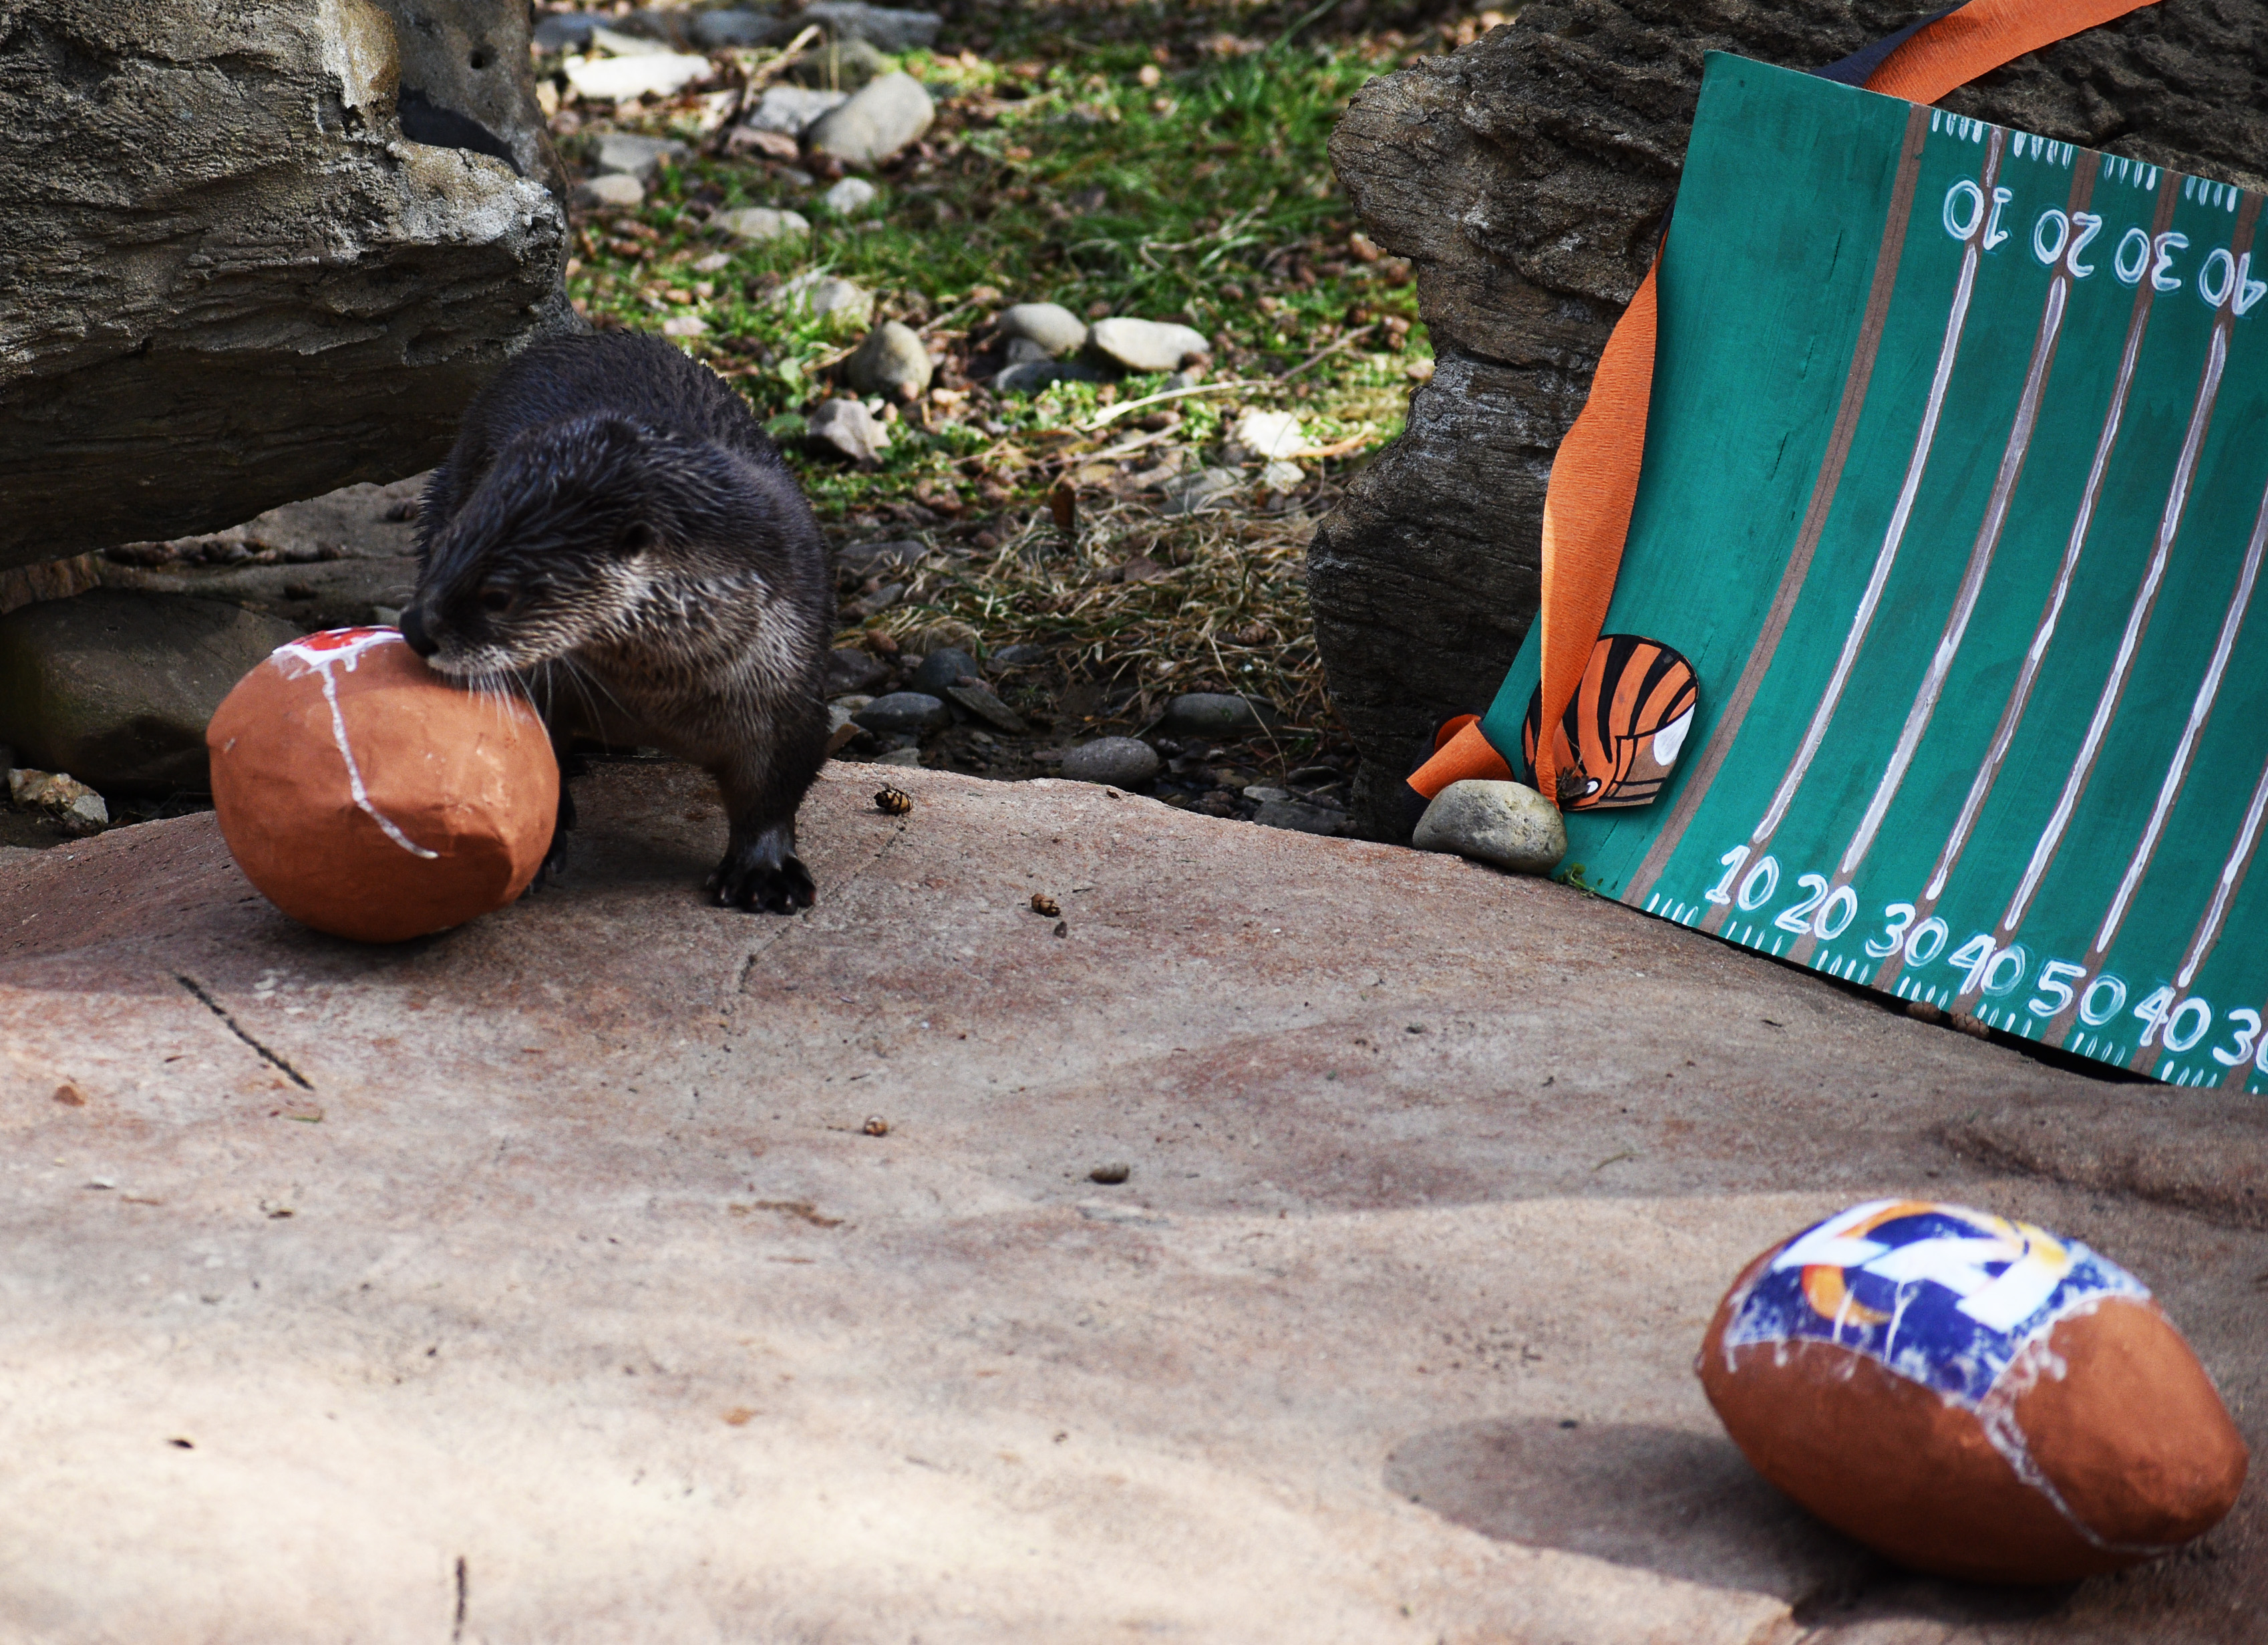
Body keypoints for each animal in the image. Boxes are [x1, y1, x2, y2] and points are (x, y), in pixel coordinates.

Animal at [402, 330, 834, 913]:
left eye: (499, 595)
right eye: (451, 542)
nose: (414, 628)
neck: (660, 696)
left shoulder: (790, 690)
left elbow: (775, 789)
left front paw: (764, 871)